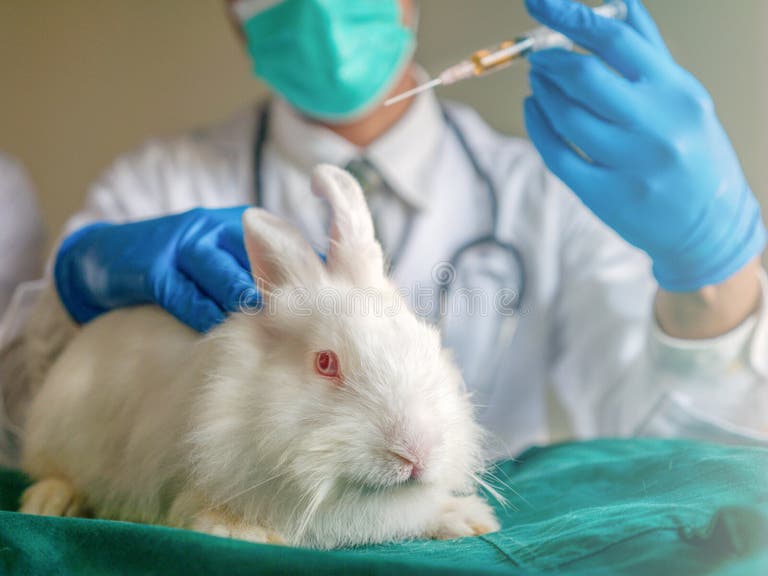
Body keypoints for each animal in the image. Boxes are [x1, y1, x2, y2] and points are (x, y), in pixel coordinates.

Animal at [18, 164, 500, 549]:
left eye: (427, 342)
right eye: (325, 363)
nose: (416, 453)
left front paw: (468, 518)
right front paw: (245, 532)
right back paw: (50, 501)